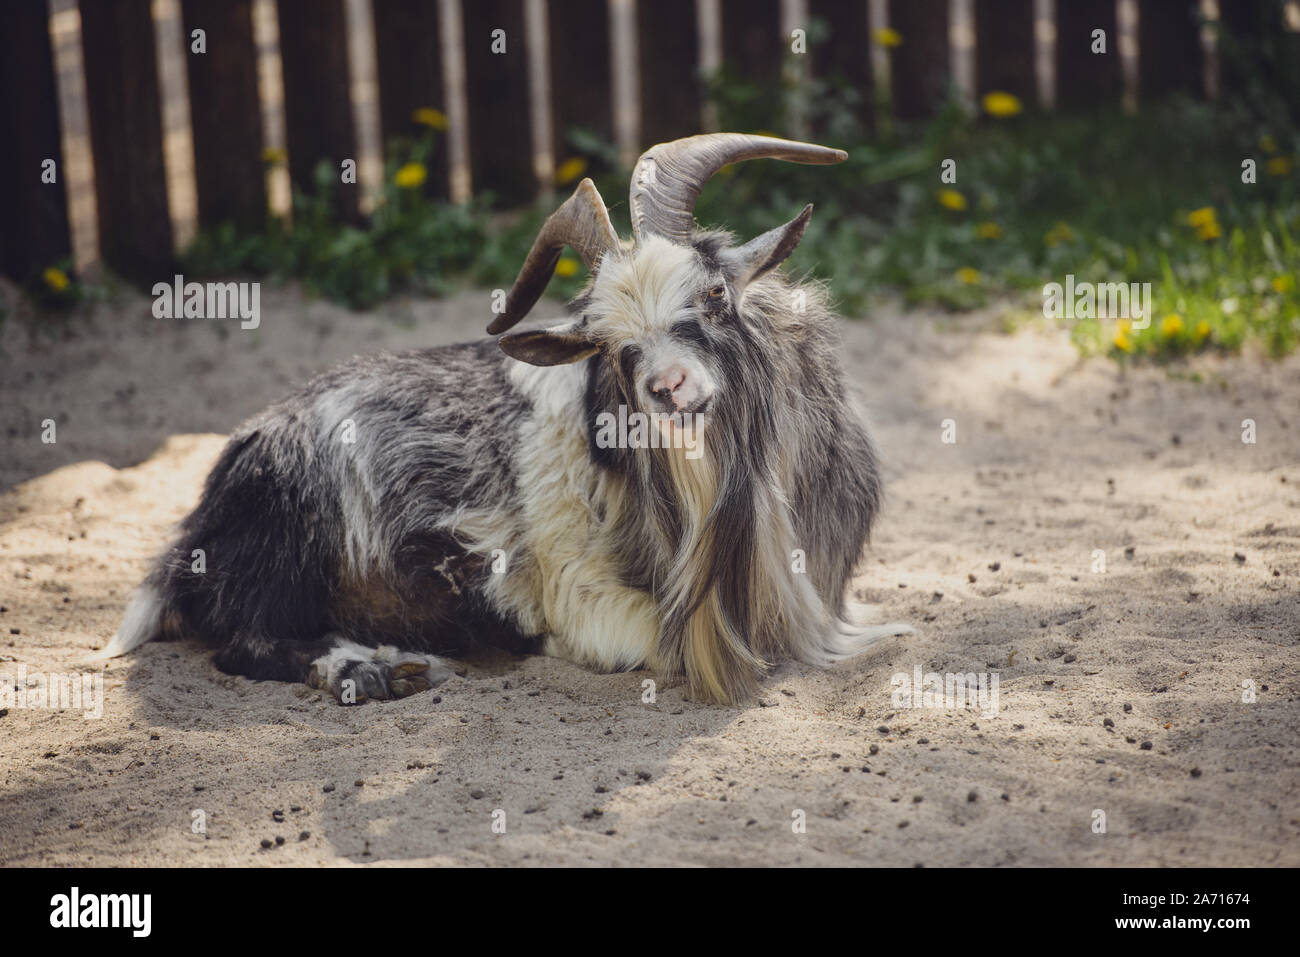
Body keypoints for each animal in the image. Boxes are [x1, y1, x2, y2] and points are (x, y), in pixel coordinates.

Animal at [106, 133, 909, 705]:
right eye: (610, 345)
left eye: (713, 293)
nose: (669, 388)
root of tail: (193, 532)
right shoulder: (588, 600)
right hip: (284, 546)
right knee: (244, 642)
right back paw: (374, 671)